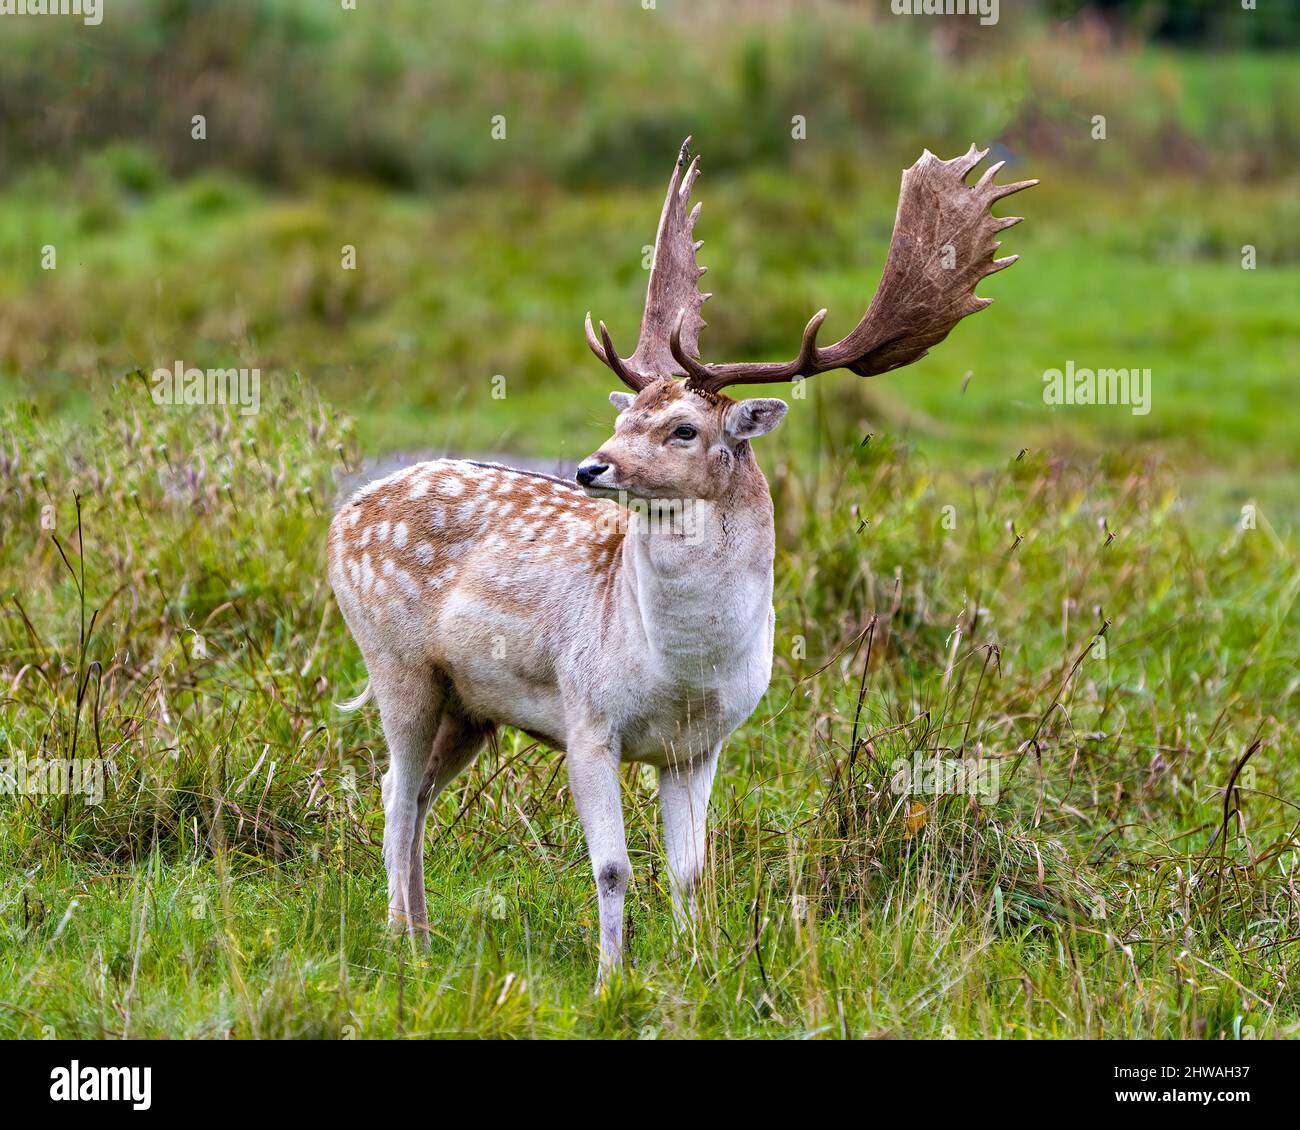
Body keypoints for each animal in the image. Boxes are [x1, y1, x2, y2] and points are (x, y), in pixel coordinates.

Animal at [327, 138, 1035, 983]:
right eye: (626, 414)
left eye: (684, 429)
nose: (590, 467)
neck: (682, 673)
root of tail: (344, 514)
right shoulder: (587, 717)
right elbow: (612, 868)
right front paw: (610, 981)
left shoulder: (702, 747)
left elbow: (689, 872)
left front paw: (702, 968)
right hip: (395, 661)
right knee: (394, 791)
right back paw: (400, 942)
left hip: (470, 705)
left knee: (415, 792)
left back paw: (426, 936)